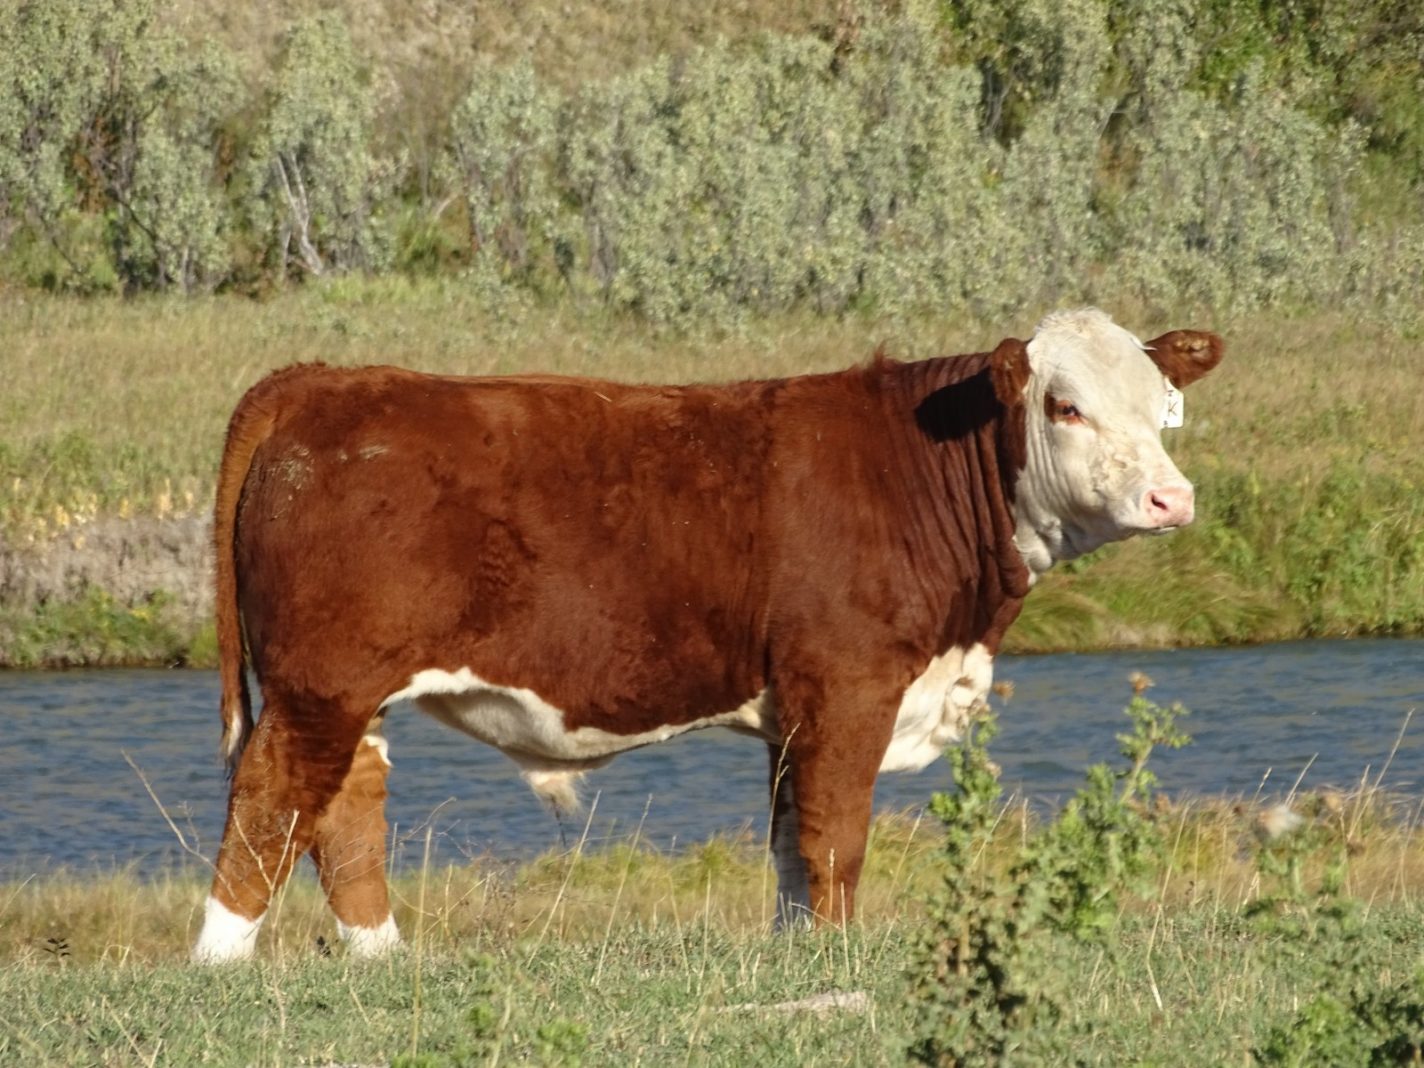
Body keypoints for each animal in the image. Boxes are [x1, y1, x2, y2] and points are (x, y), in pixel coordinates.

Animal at [192, 307, 1222, 962]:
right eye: (1064, 405)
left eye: (1162, 407)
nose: (1172, 498)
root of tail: (324, 380)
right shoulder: (849, 684)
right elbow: (837, 836)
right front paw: (839, 960)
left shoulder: (795, 704)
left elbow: (792, 840)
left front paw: (799, 951)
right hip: (320, 685)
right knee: (270, 801)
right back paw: (219, 960)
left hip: (350, 692)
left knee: (345, 813)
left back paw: (383, 957)